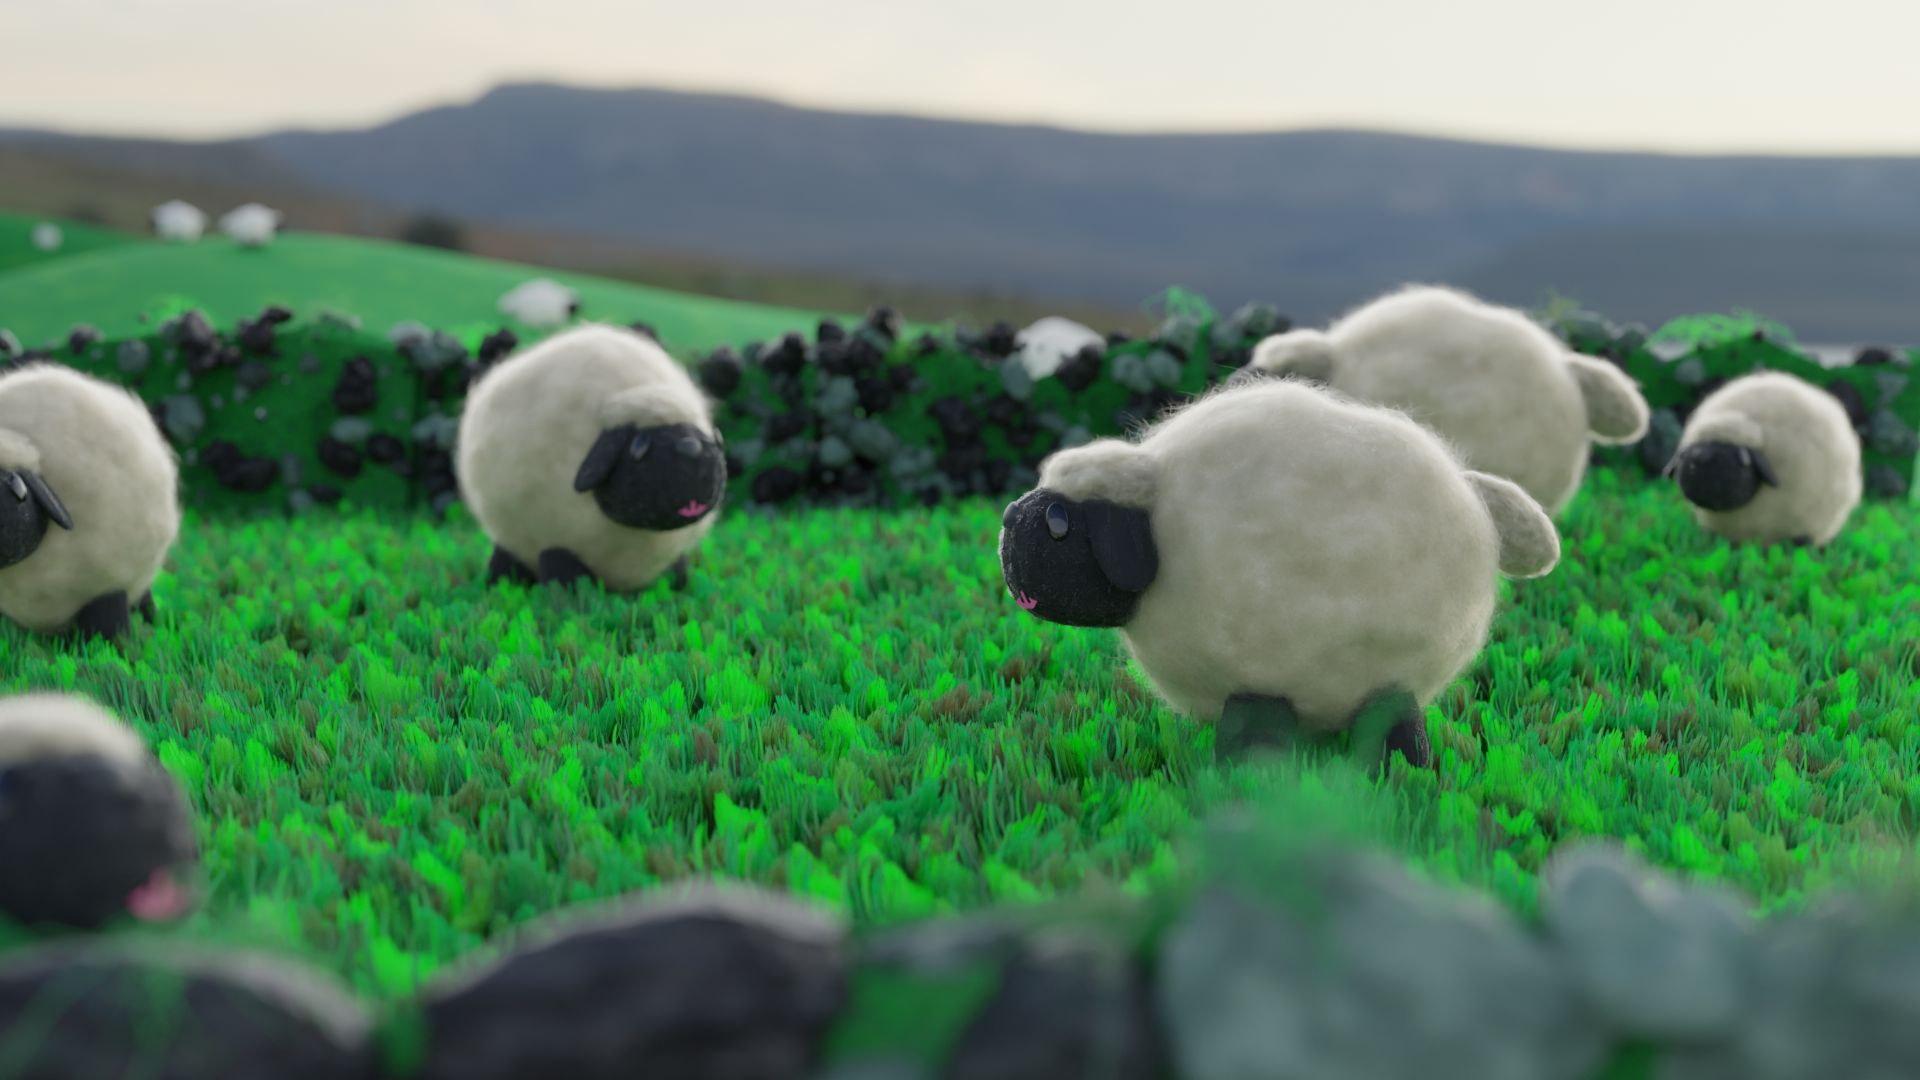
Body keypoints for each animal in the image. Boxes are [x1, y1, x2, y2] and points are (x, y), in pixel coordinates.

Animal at [0, 363, 182, 640]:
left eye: (17, 490)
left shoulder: (105, 589)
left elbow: (109, 631)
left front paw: (117, 647)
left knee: (144, 598)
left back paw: (154, 622)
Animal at [456, 323, 726, 592]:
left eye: (706, 437)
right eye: (638, 446)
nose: (691, 446)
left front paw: (679, 583)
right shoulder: (559, 545)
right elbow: (566, 577)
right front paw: (571, 595)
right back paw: (500, 581)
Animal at [999, 379, 1560, 769]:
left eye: (1058, 524)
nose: (1008, 519)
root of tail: (1470, 490)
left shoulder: (1254, 685)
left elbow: (1253, 739)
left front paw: (1251, 778)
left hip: (1392, 678)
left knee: (1396, 723)